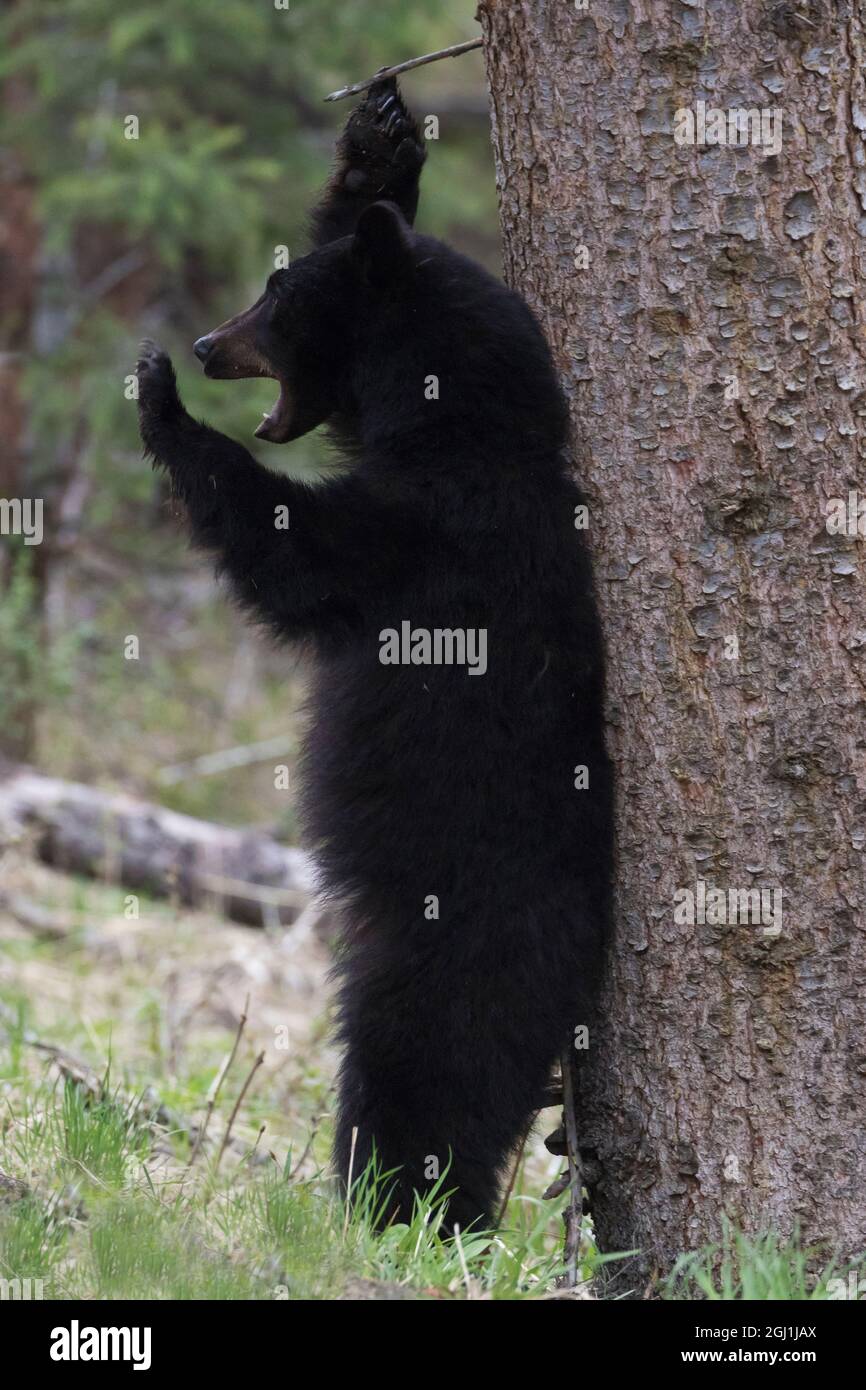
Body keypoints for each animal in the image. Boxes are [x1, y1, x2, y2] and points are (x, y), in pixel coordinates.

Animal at [137, 78, 614, 1234]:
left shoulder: (428, 540)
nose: (206, 341)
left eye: (273, 298)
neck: (473, 430)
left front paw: (161, 403)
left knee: (430, 1071)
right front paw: (381, 149)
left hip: (452, 939)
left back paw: (398, 1206)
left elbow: (291, 553)